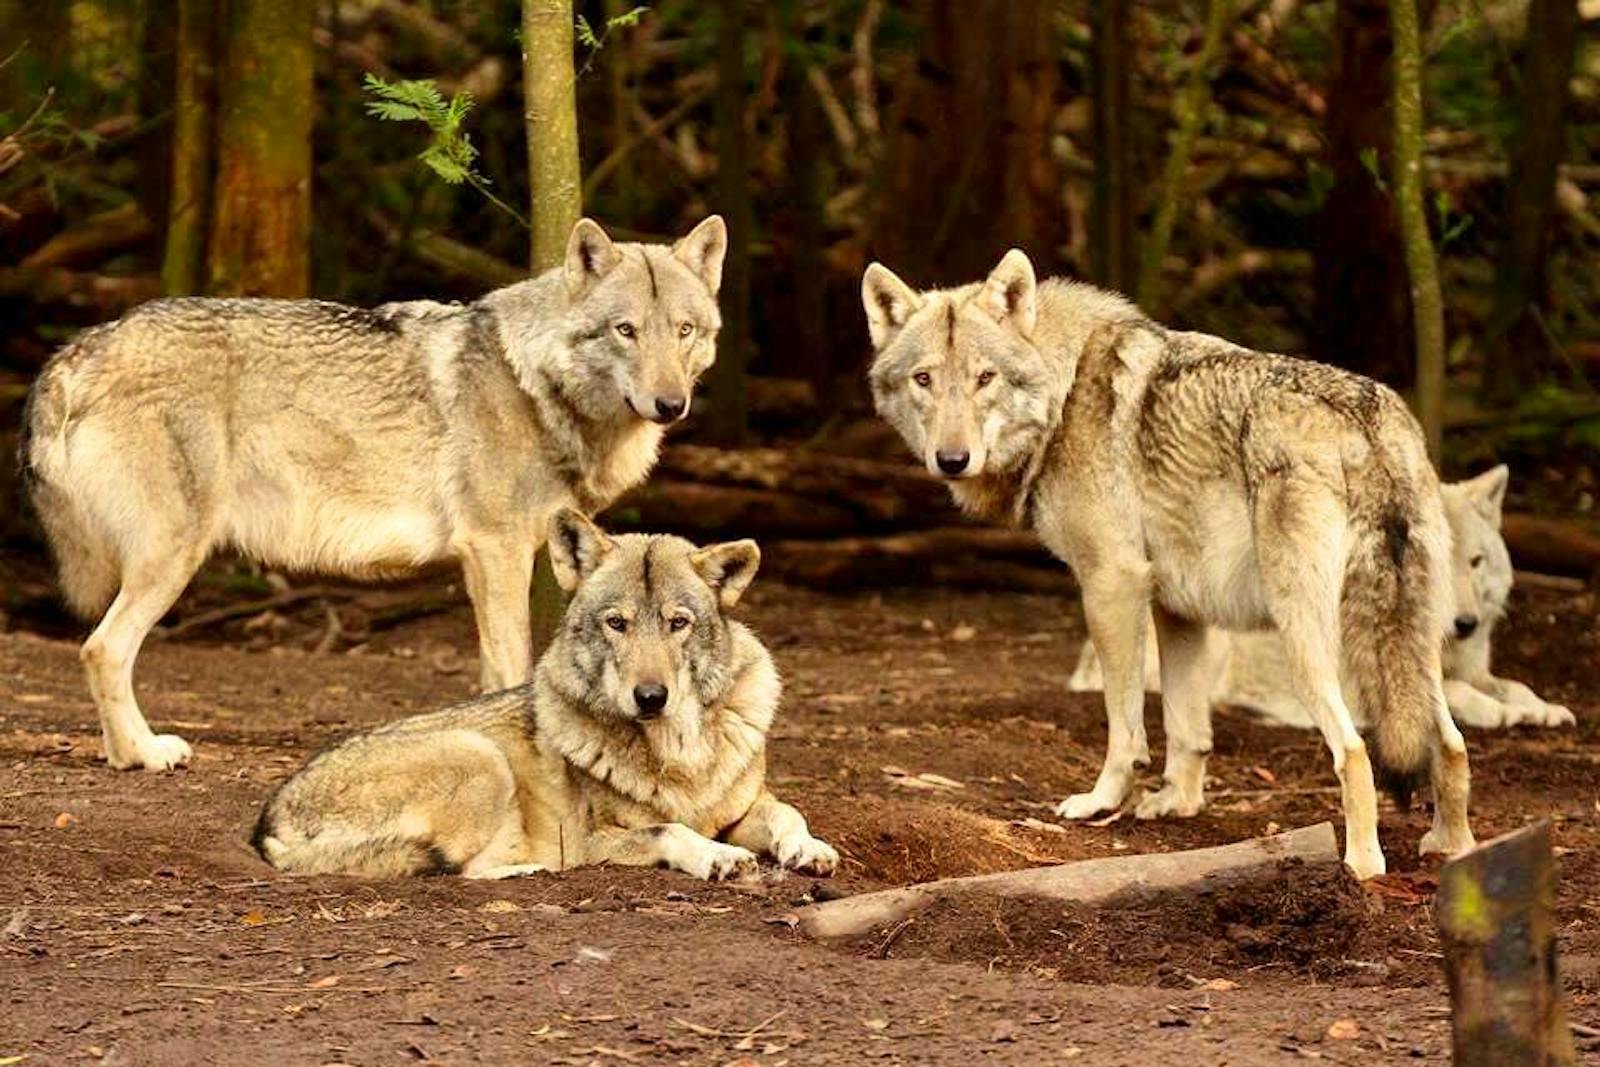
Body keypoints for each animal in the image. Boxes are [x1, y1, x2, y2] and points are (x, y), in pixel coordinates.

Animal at [21, 215, 726, 772]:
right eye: (625, 330)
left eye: (684, 330)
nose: (671, 405)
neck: (536, 384)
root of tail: (74, 352)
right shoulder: (494, 550)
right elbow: (510, 668)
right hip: (172, 558)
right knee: (101, 648)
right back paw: (141, 754)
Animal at [254, 510, 838, 880]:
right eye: (617, 623)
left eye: (678, 623)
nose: (651, 697)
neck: (680, 754)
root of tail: (267, 821)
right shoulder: (595, 840)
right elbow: (670, 829)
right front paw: (717, 858)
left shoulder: (744, 810)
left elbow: (789, 812)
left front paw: (809, 849)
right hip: (480, 757)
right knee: (460, 870)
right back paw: (532, 869)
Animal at [864, 249, 1474, 879]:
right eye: (924, 379)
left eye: (985, 378)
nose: (951, 459)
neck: (1064, 393)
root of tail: (1364, 417)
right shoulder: (1177, 608)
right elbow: (1186, 727)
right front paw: (1176, 803)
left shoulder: (1112, 584)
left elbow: (1125, 723)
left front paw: (1102, 801)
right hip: (1416, 644)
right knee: (1452, 745)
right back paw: (1453, 849)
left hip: (1306, 637)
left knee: (1354, 750)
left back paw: (1361, 866)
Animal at [1068, 465, 1576, 731]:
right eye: (1432, 563)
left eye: (1474, 562)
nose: (1465, 624)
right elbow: (1459, 692)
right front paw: (1503, 714)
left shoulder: (1476, 668)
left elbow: (1510, 684)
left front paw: (1543, 709)